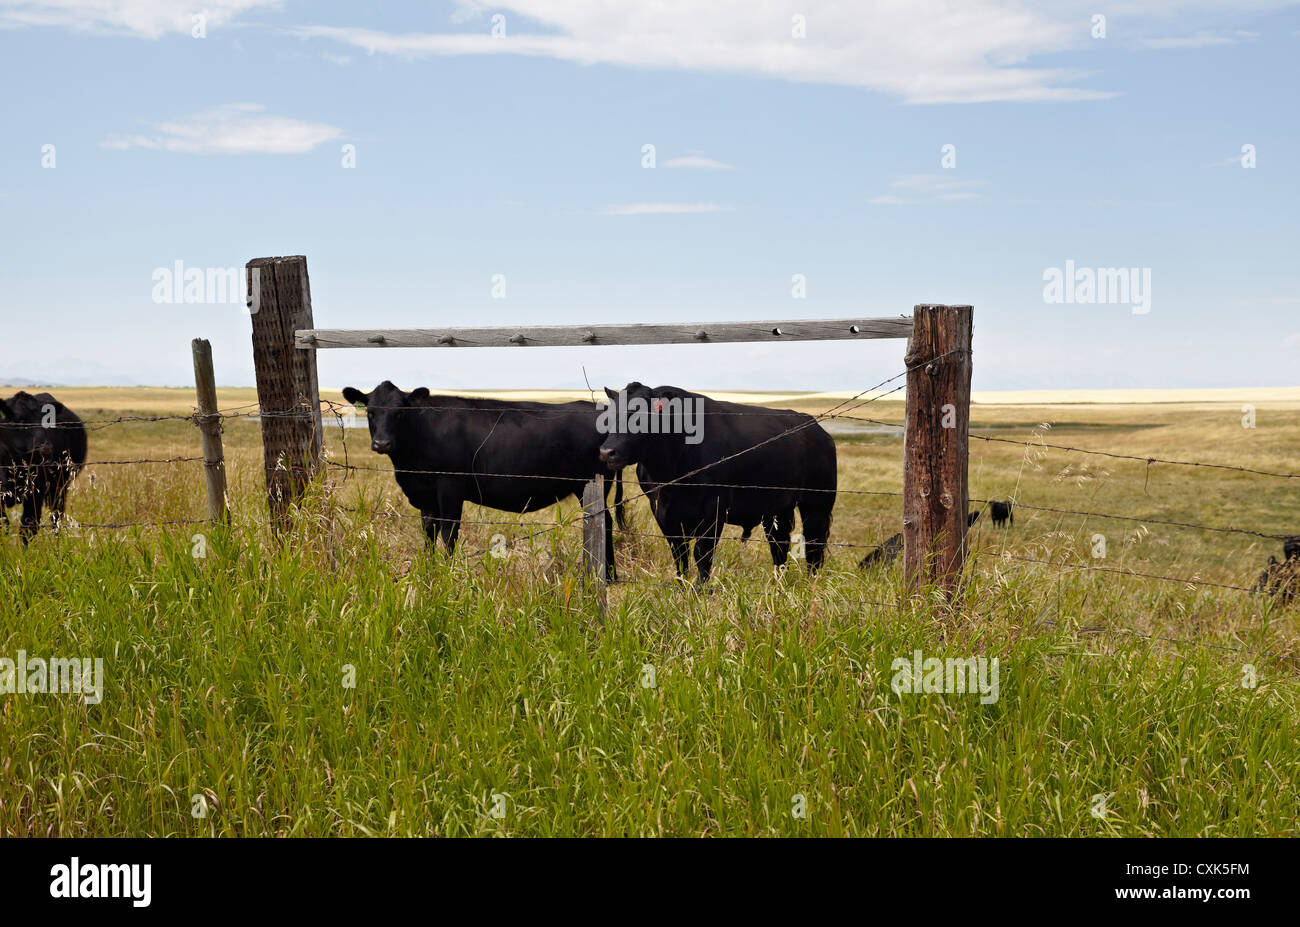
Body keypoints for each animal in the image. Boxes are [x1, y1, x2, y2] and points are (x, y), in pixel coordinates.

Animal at [0, 391, 87, 544]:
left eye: (47, 421)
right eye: (19, 421)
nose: (45, 447)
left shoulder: (36, 493)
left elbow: (28, 528)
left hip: (60, 488)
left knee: (56, 518)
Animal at [341, 381, 620, 579]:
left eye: (400, 413)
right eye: (370, 412)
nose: (382, 443)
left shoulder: (450, 487)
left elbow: (448, 532)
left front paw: (448, 574)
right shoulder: (425, 495)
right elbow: (429, 531)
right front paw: (428, 570)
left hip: (591, 485)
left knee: (604, 522)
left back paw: (608, 576)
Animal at [598, 382, 836, 584]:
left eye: (641, 417)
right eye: (608, 418)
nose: (607, 452)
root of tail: (817, 429)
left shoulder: (714, 510)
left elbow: (702, 553)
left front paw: (701, 590)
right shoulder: (663, 512)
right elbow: (679, 553)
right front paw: (682, 586)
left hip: (817, 505)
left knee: (814, 546)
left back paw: (811, 584)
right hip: (776, 510)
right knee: (779, 544)